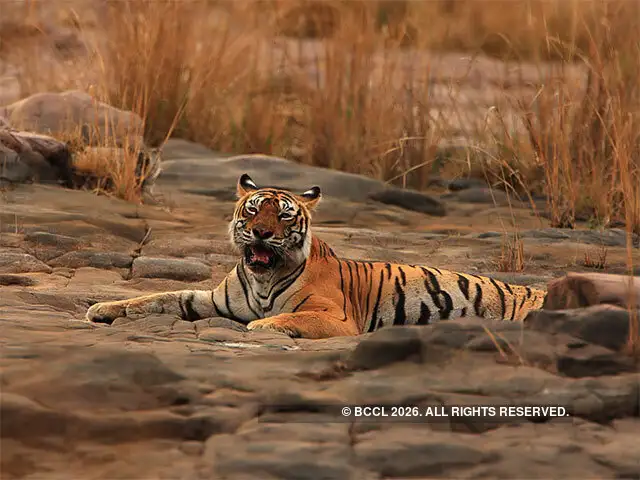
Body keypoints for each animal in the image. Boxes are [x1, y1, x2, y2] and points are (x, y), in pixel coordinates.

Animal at [85, 173, 547, 339]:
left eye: (284, 214)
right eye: (253, 209)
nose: (261, 232)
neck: (263, 277)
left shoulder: (337, 318)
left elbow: (289, 317)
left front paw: (262, 326)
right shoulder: (212, 300)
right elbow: (158, 298)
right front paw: (103, 309)